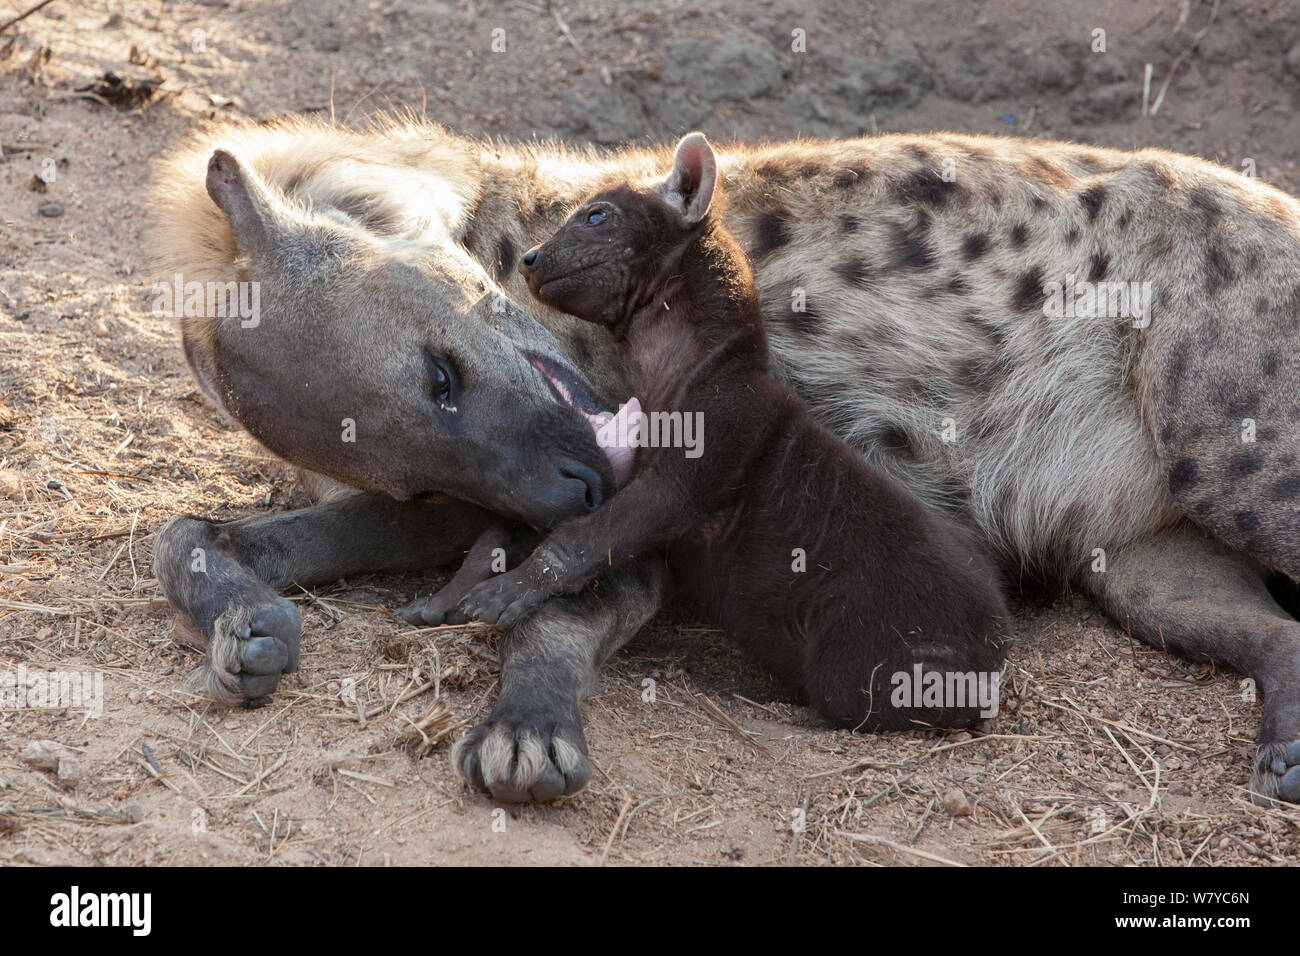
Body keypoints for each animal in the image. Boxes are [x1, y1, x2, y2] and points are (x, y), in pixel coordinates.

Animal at [150, 115, 1300, 804]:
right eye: (415, 465)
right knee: (1259, 623)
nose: (571, 484)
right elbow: (193, 530)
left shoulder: (667, 475)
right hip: (1141, 551)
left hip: (1233, 443)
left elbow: (574, 595)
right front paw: (248, 630)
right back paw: (1284, 747)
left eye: (440, 374)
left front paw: (525, 733)